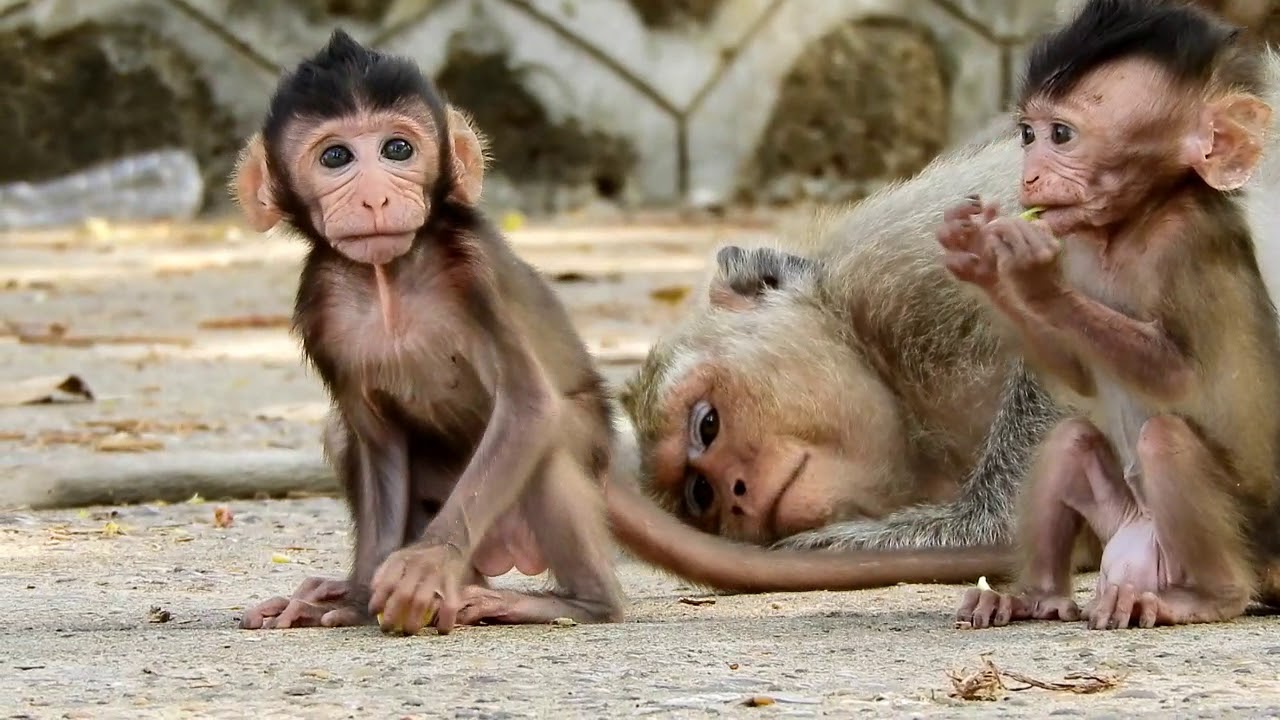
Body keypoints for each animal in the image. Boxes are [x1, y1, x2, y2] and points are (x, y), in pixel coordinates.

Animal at [231, 30, 625, 635]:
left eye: (398, 150)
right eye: (335, 157)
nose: (374, 197)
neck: (389, 279)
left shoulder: (477, 274)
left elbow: (529, 405)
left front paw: (427, 562)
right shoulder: (319, 308)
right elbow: (377, 441)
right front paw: (356, 600)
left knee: (549, 442)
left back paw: (576, 602)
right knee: (342, 434)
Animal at [950, 0, 1280, 630]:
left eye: (1061, 135)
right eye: (1026, 134)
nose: (1028, 176)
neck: (1132, 225)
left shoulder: (1187, 244)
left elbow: (1179, 377)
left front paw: (1031, 276)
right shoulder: (1078, 242)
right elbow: (1076, 374)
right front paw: (983, 261)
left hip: (1247, 547)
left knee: (1165, 439)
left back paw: (1208, 598)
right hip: (1127, 529)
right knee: (1070, 439)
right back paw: (1033, 597)